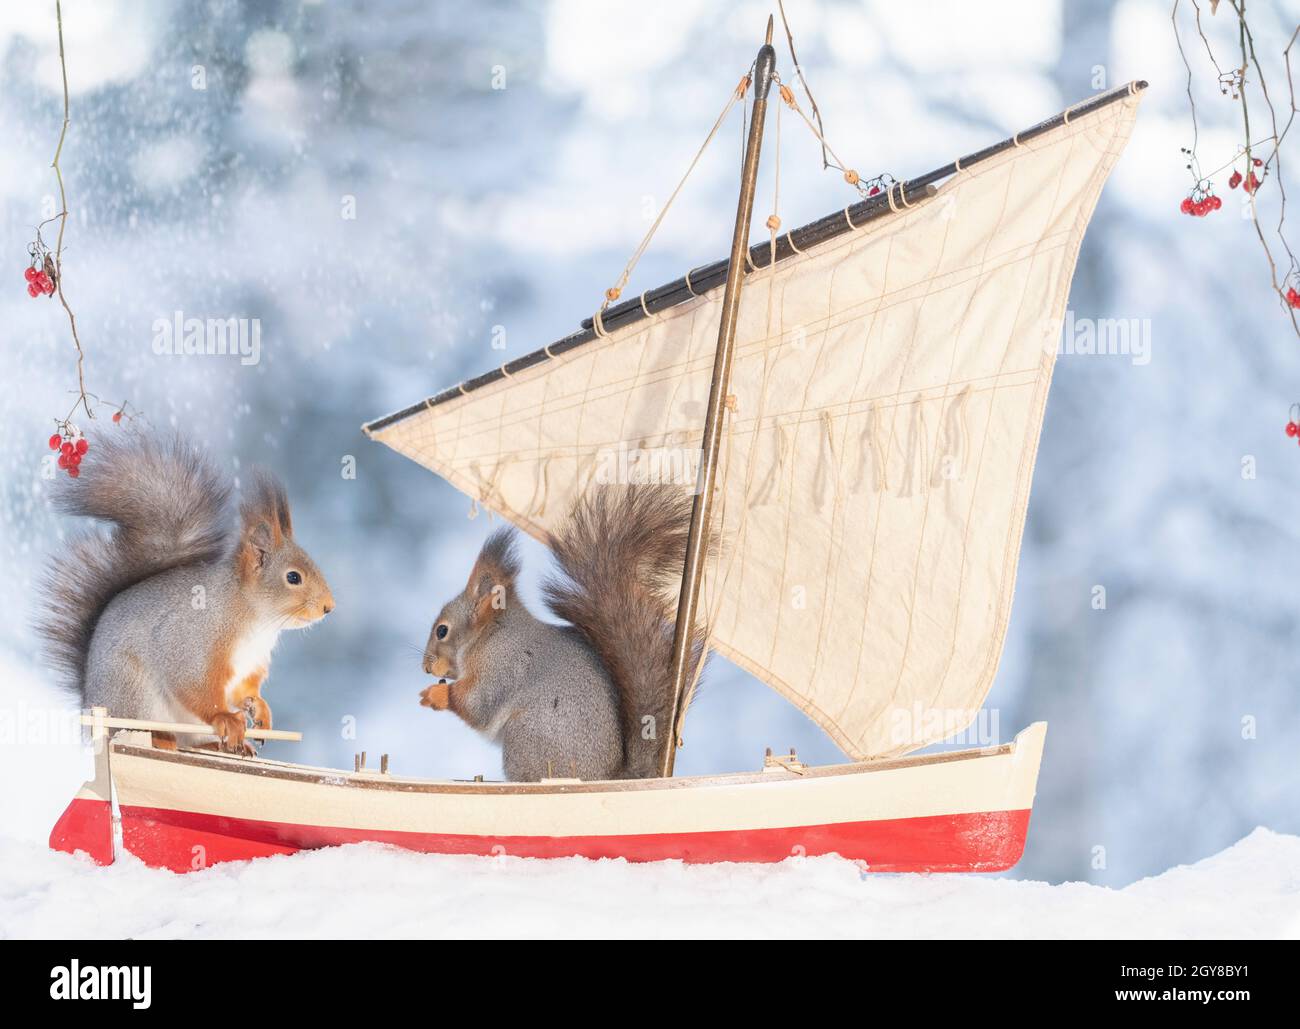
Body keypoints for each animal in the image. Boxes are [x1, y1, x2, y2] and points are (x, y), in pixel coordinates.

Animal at [38, 431, 334, 754]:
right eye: (293, 577)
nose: (328, 607)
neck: (256, 619)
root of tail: (92, 708)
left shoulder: (249, 664)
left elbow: (244, 690)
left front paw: (259, 708)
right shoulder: (193, 643)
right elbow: (195, 686)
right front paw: (225, 717)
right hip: (135, 696)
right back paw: (161, 739)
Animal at [419, 485, 707, 782]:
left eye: (442, 630)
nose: (426, 667)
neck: (488, 637)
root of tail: (607, 777)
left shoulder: (503, 666)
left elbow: (478, 704)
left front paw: (435, 695)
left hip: (526, 735)